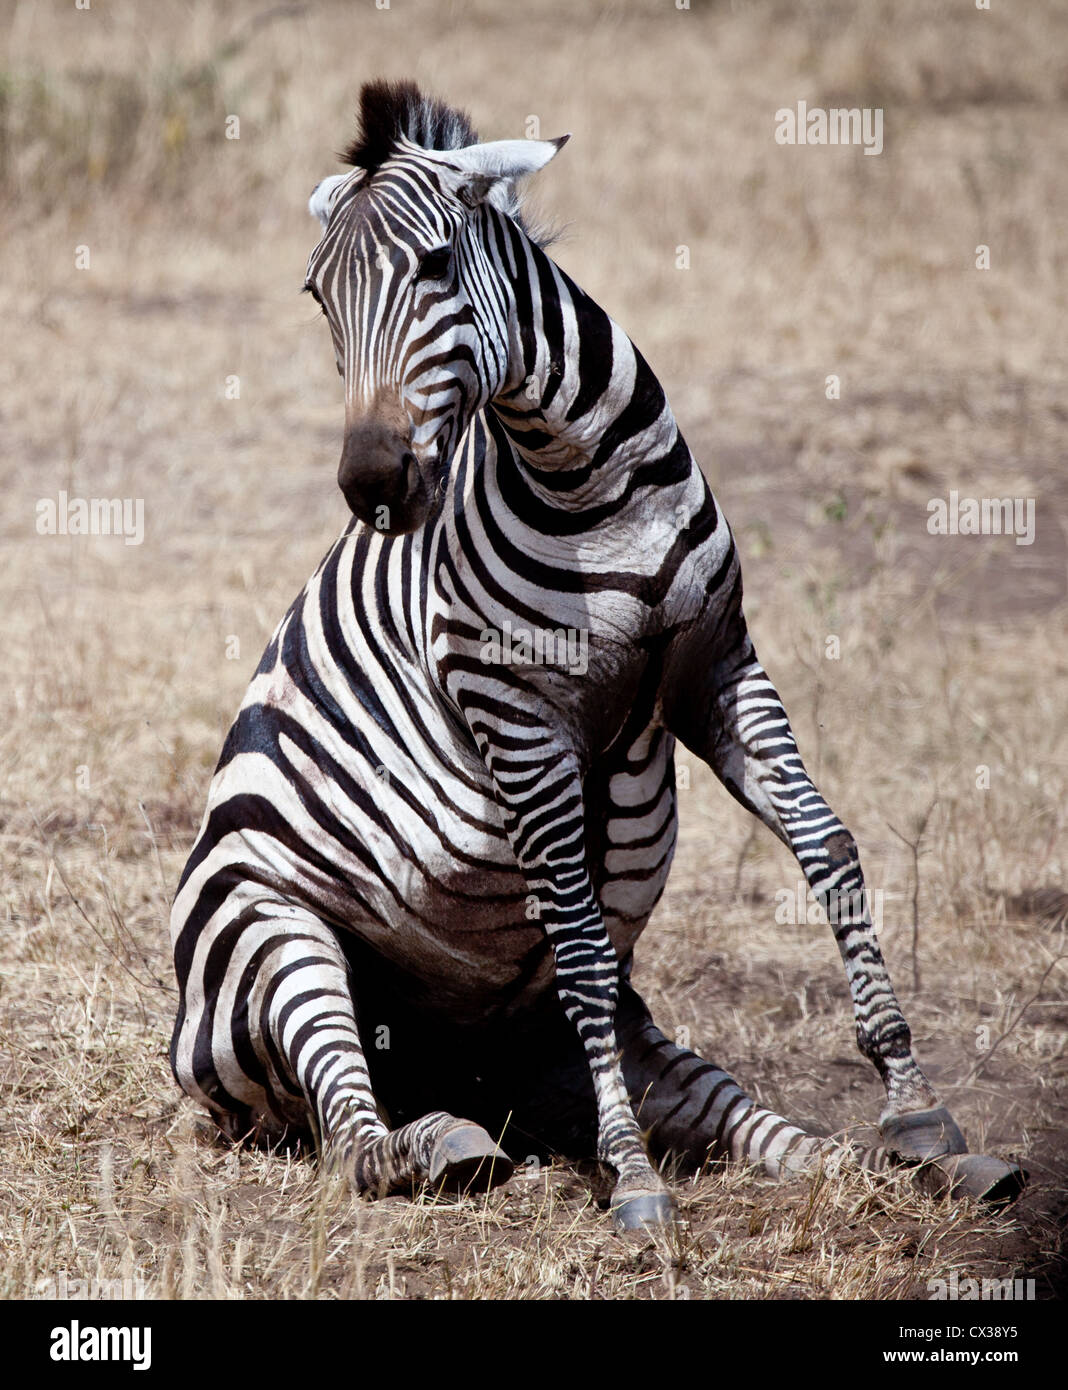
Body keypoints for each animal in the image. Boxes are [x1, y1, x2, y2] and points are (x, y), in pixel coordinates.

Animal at [170, 80, 1022, 1227]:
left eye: (435, 266)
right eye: (319, 299)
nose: (372, 485)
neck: (590, 483)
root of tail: (449, 1072)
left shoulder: (720, 670)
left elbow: (827, 847)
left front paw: (917, 1113)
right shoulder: (518, 720)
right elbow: (573, 937)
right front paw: (632, 1180)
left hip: (596, 1038)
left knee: (730, 1114)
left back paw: (854, 1163)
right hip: (274, 933)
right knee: (347, 1118)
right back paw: (433, 1147)